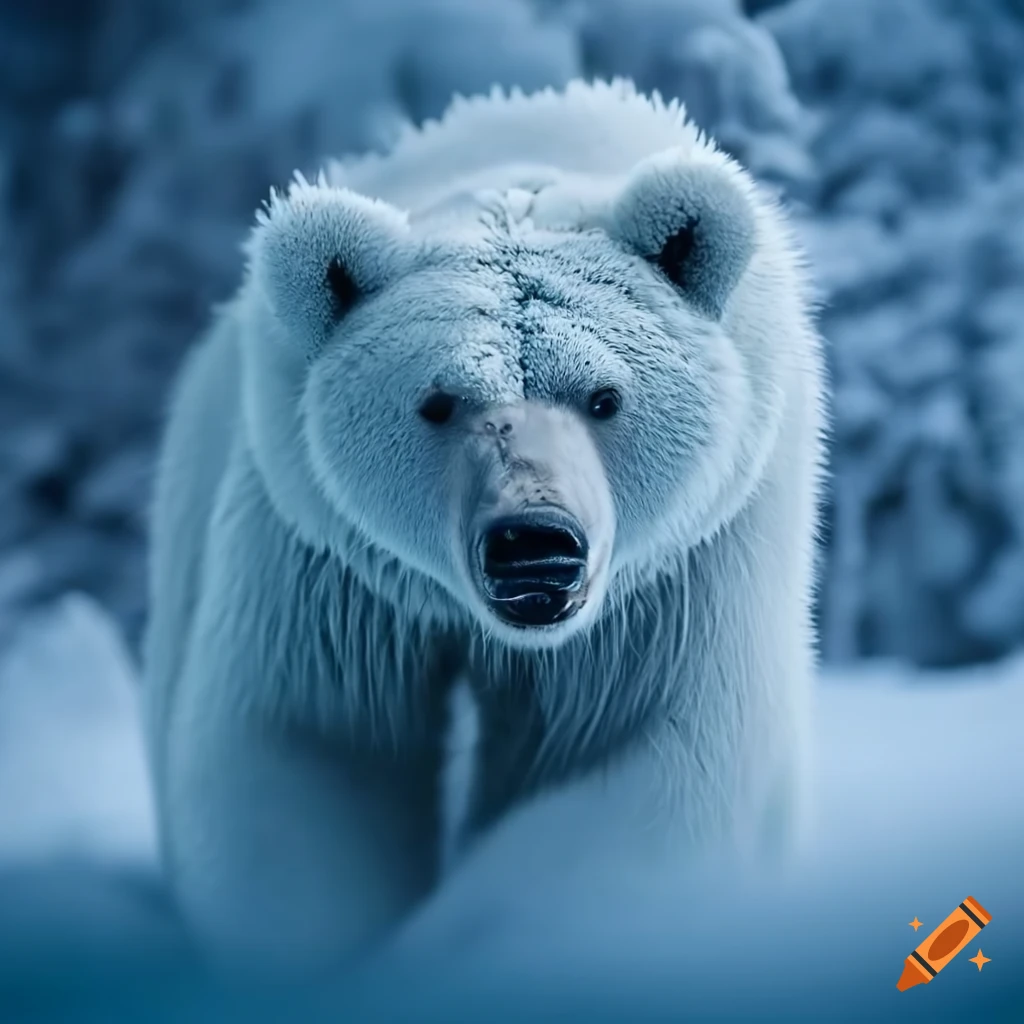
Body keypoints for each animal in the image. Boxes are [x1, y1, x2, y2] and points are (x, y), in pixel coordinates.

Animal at [142, 78, 825, 973]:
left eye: (604, 395)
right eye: (437, 400)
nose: (534, 546)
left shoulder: (677, 577)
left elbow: (633, 763)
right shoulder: (336, 566)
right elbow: (315, 752)